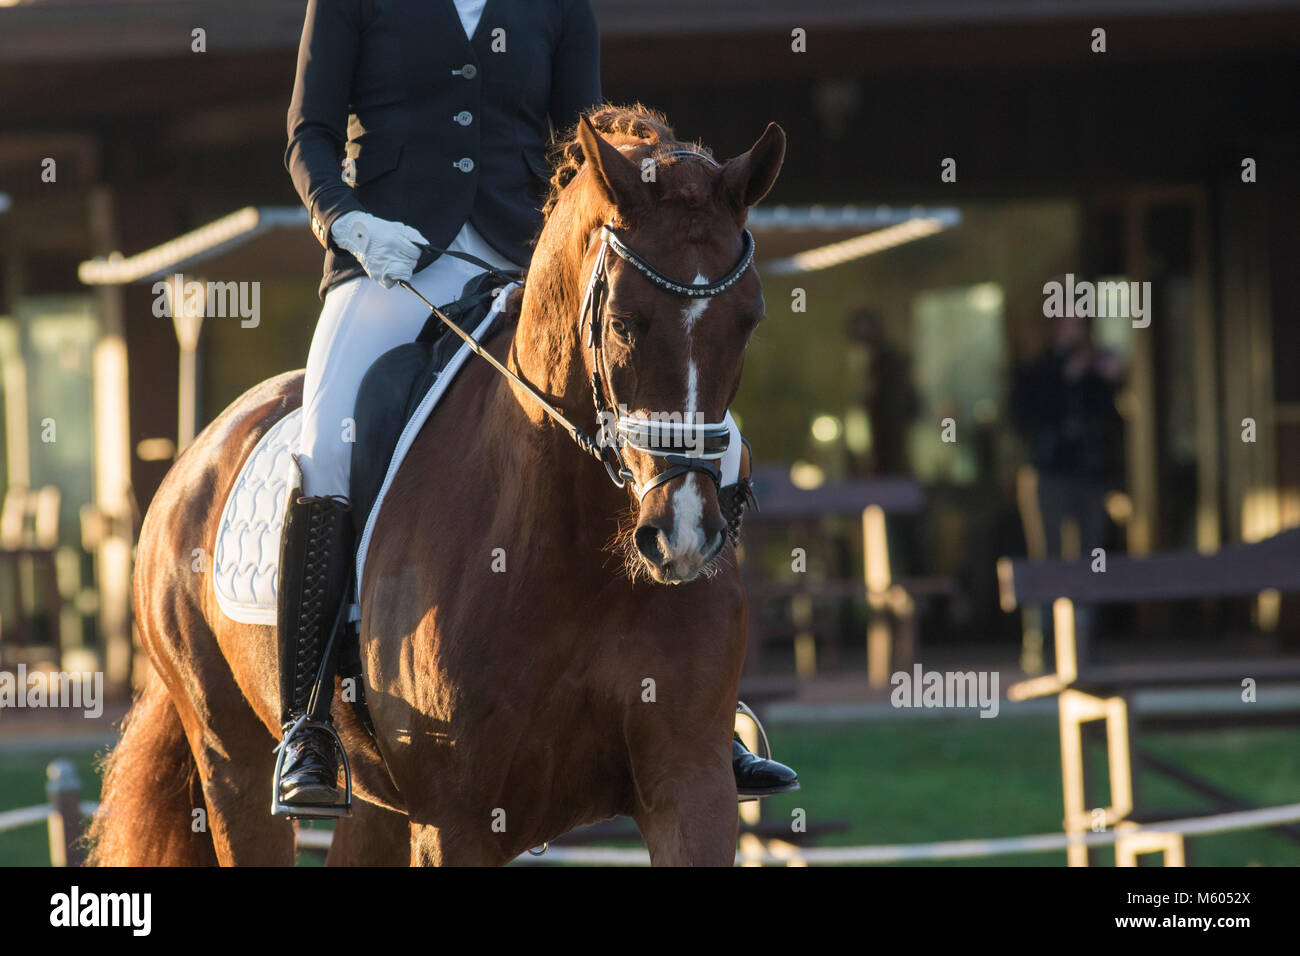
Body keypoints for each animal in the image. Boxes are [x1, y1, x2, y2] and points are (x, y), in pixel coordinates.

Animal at [87, 104, 786, 866]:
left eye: (750, 320)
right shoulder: (457, 820)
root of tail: (200, 453)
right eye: (625, 322)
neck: (578, 553)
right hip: (231, 763)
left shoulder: (691, 788)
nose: (684, 535)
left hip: (376, 804)